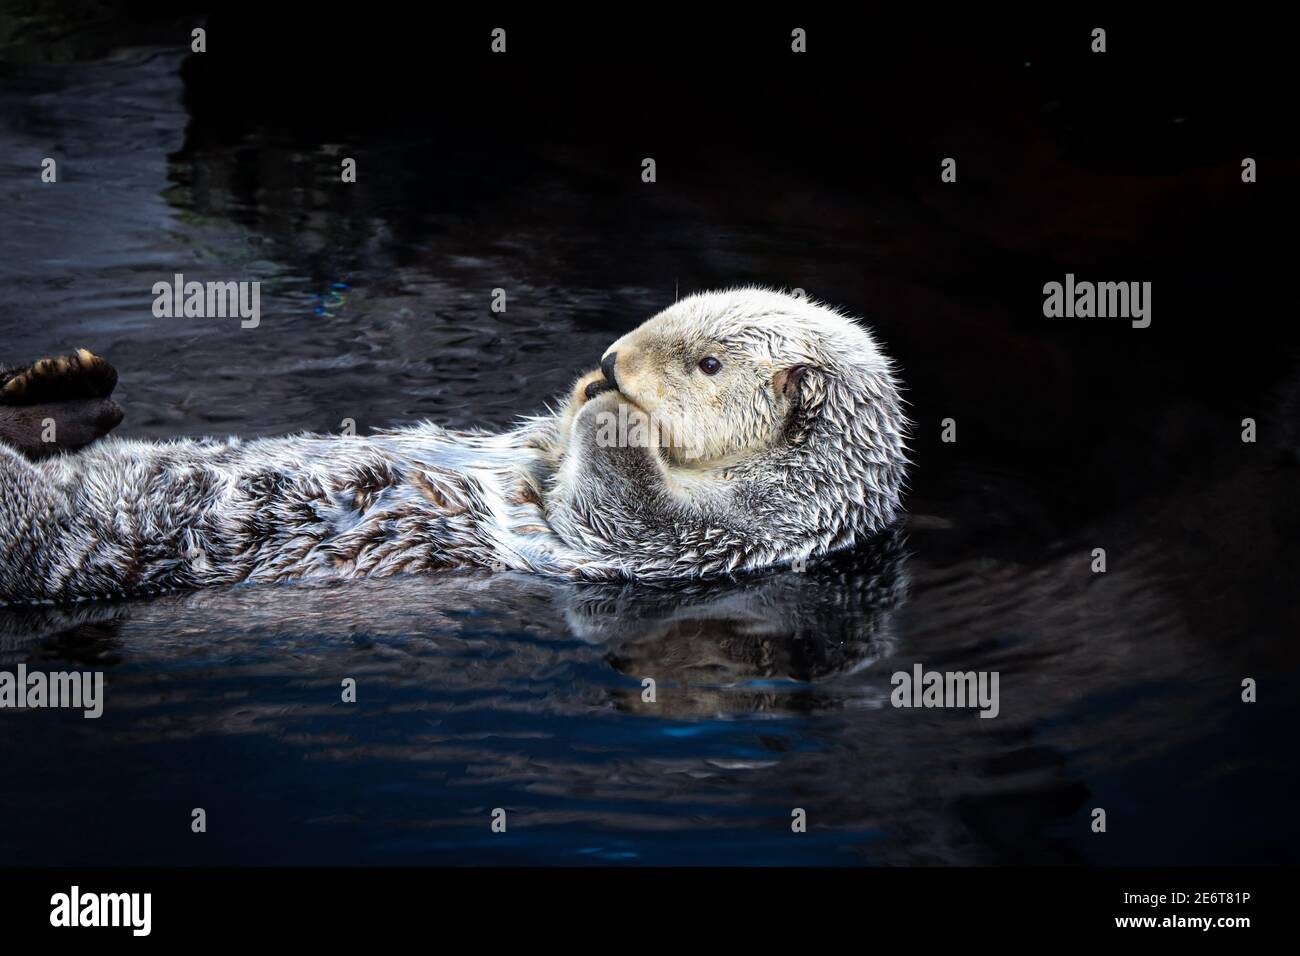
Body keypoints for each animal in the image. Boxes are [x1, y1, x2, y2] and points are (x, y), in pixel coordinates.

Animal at [0, 288, 907, 604]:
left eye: (709, 363)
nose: (613, 359)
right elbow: (546, 443)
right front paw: (586, 390)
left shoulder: (731, 538)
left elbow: (623, 513)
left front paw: (614, 411)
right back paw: (58, 383)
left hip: (55, 544)